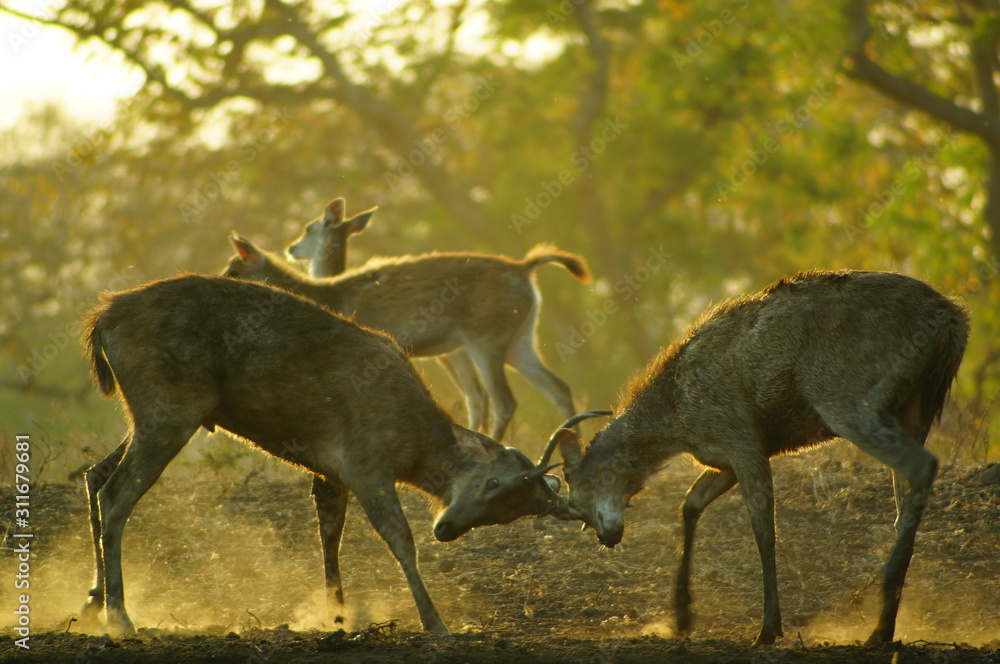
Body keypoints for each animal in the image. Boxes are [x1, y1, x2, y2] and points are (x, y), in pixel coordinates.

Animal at [79, 274, 572, 636]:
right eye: (493, 481)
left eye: (509, 513)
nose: (446, 529)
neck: (413, 446)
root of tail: (102, 318)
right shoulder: (366, 464)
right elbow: (400, 540)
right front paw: (435, 623)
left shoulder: (333, 471)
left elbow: (329, 534)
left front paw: (336, 613)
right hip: (169, 410)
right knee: (117, 494)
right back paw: (120, 616)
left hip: (153, 414)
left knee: (94, 473)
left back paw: (92, 601)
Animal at [223, 231, 591, 441]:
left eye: (235, 269)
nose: (219, 281)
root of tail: (525, 269)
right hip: (520, 339)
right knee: (558, 387)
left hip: (486, 336)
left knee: (504, 400)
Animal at [536, 269, 969, 646]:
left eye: (578, 491)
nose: (606, 536)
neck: (676, 417)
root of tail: (953, 321)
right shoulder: (726, 457)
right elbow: (690, 505)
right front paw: (681, 616)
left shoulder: (741, 438)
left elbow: (763, 531)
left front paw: (768, 628)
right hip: (915, 410)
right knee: (903, 500)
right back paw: (888, 619)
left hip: (849, 402)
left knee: (921, 465)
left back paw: (879, 626)